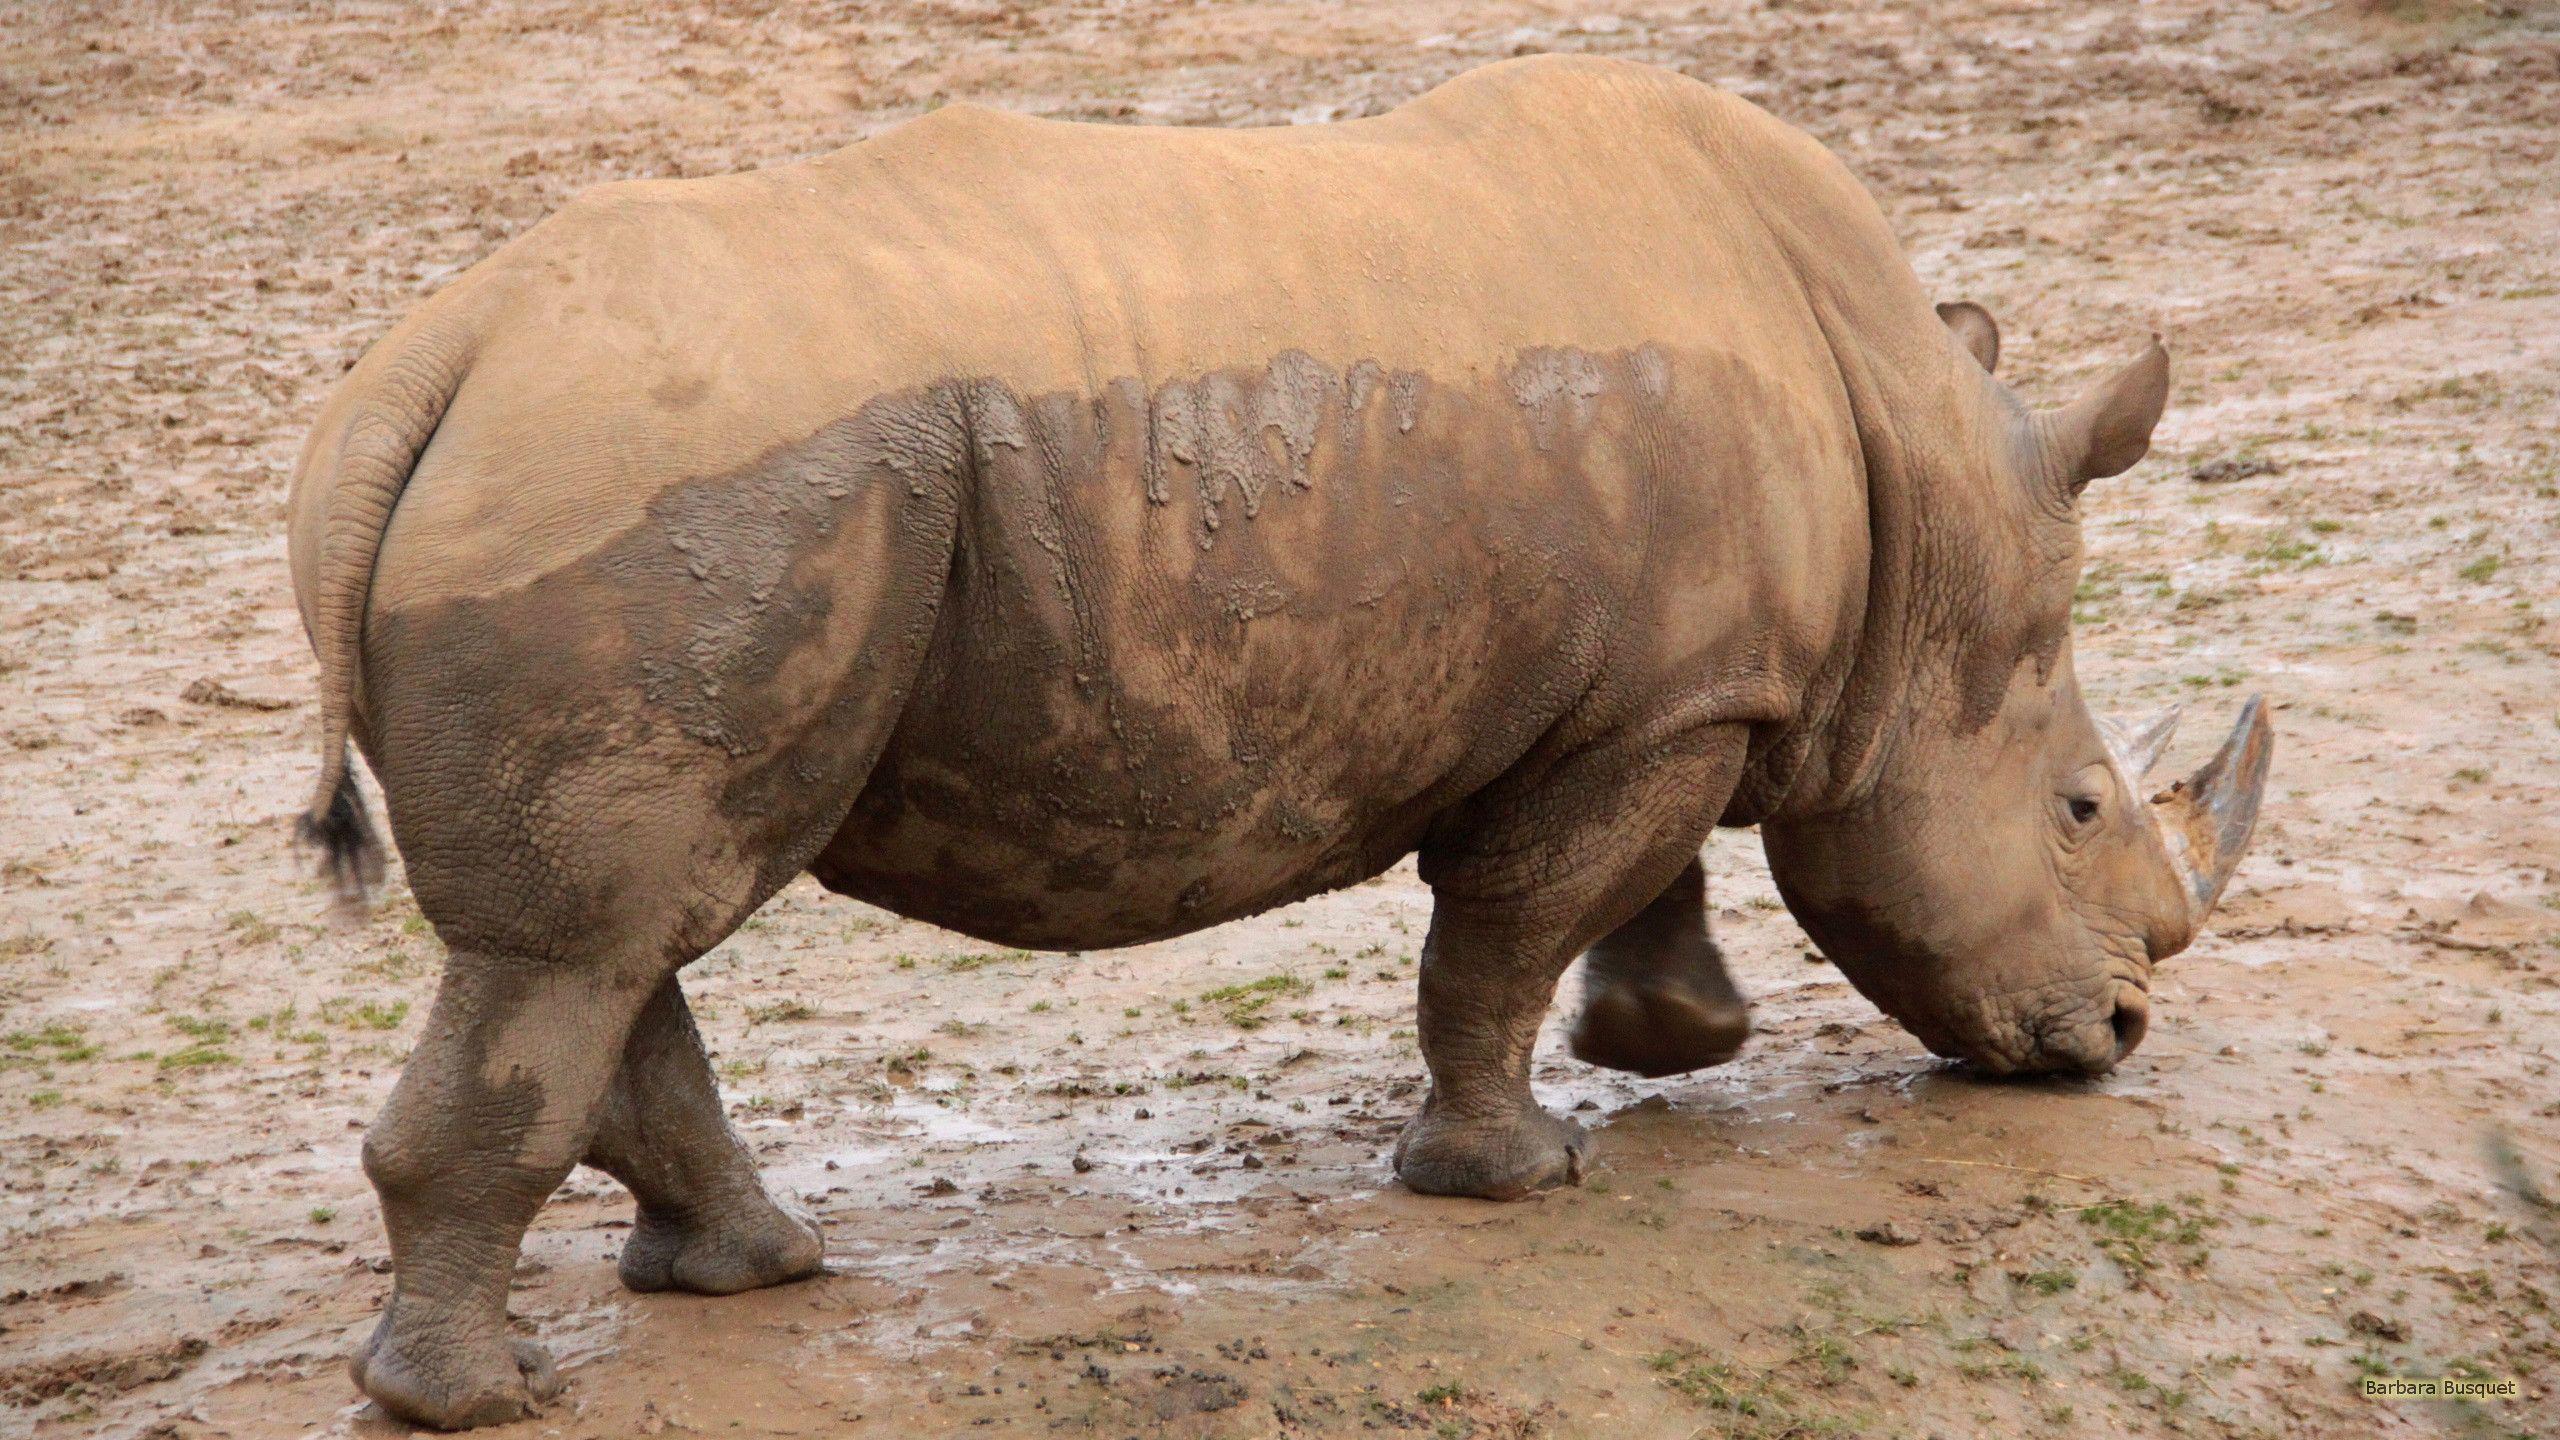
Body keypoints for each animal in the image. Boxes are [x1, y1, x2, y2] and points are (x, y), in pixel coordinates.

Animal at [285, 55, 2270, 1428]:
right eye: (2080, 808)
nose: (2115, 1037)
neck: (1917, 498)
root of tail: (428, 373)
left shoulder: (1682, 694)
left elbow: (1634, 884)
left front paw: (1673, 1041)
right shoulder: (1659, 711)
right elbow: (1503, 930)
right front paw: (1518, 1174)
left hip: (637, 493)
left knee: (610, 942)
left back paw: (750, 1276)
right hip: (649, 494)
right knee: (588, 946)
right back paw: (488, 1399)